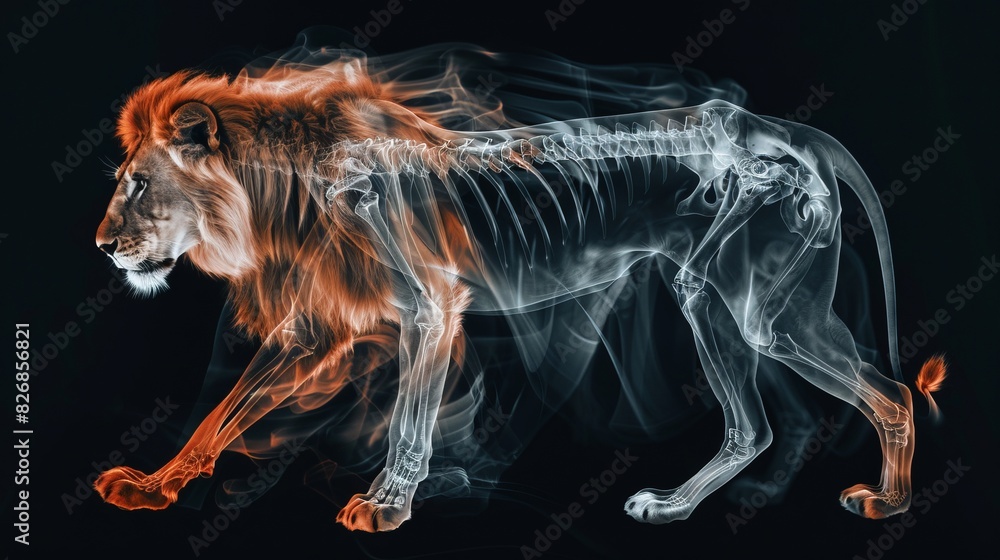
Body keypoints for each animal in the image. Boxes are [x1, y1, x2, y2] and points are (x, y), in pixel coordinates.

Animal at [93, 44, 946, 531]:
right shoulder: (311, 330)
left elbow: (408, 422)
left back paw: (888, 503)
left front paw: (386, 506)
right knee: (758, 425)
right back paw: (674, 508)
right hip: (723, 296)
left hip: (755, 306)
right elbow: (220, 416)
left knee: (884, 395)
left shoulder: (431, 307)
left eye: (137, 183)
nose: (101, 244)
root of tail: (782, 126)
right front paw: (153, 486)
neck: (280, 201)